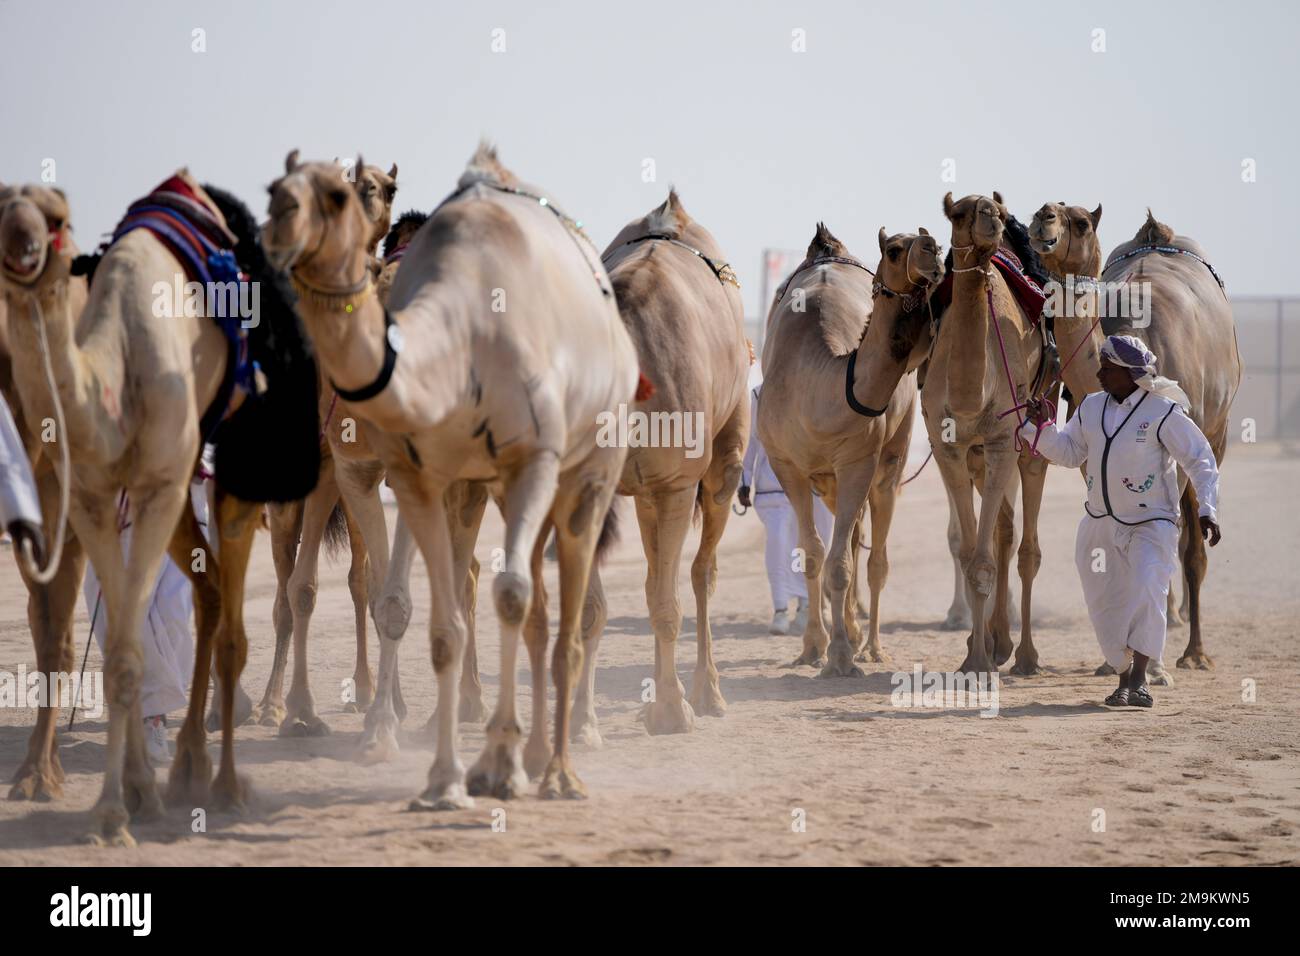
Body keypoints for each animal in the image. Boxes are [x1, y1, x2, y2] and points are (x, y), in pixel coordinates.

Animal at [262, 145, 637, 803]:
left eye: (368, 189)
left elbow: (421, 590)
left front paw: (398, 725)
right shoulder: (362, 469)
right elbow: (385, 596)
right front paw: (380, 730)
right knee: (307, 585)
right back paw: (291, 709)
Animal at [580, 190, 749, 736]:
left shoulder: (676, 484)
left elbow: (667, 603)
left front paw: (675, 711)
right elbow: (595, 605)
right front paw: (582, 722)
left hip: (721, 461)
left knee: (699, 572)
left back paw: (707, 693)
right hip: (644, 492)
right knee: (657, 572)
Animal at [758, 224, 943, 675]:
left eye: (931, 240)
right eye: (894, 249)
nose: (933, 250)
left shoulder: (859, 460)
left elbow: (840, 563)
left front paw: (841, 655)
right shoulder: (786, 465)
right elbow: (813, 555)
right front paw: (813, 648)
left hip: (889, 457)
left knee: (874, 556)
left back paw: (871, 644)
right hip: (826, 481)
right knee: (853, 540)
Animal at [923, 192, 1051, 676]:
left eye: (995, 209)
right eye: (958, 212)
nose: (991, 217)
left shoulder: (1000, 442)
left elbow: (982, 559)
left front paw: (979, 661)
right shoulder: (948, 446)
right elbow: (969, 551)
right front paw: (974, 655)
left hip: (1032, 432)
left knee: (1025, 546)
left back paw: (1026, 655)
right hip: (977, 457)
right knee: (1003, 531)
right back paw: (999, 643)